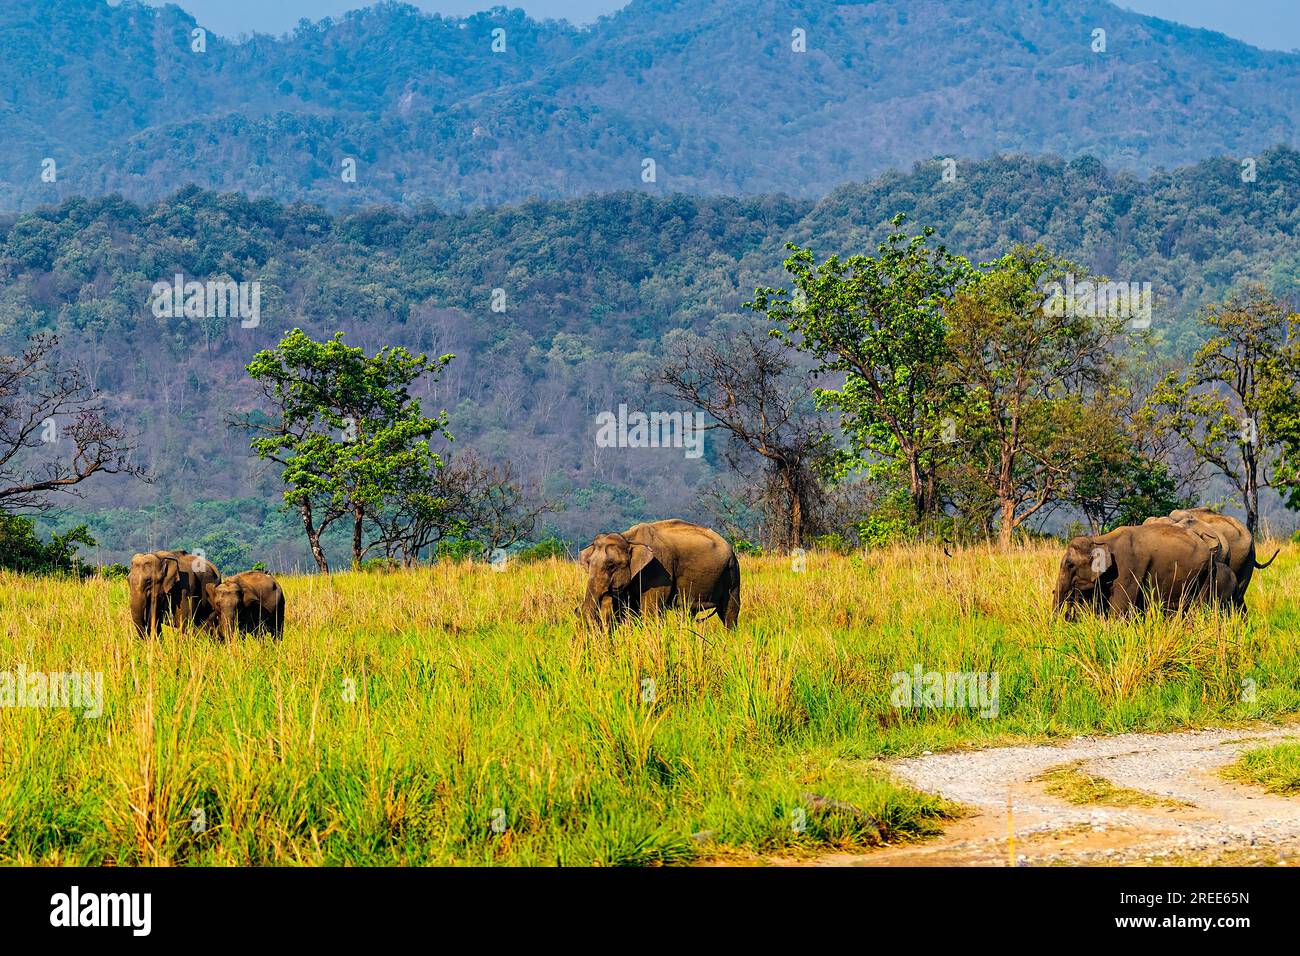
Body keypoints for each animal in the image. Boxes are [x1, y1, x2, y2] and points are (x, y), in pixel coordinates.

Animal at [579, 519, 740, 629]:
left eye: (611, 565)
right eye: (589, 563)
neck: (629, 539)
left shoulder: (658, 569)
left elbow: (651, 612)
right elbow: (623, 611)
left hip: (732, 571)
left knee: (729, 611)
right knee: (689, 612)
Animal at [1053, 523, 1217, 617]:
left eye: (1070, 565)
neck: (1099, 539)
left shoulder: (1128, 568)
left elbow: (1120, 608)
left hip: (1206, 571)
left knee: (1198, 607)